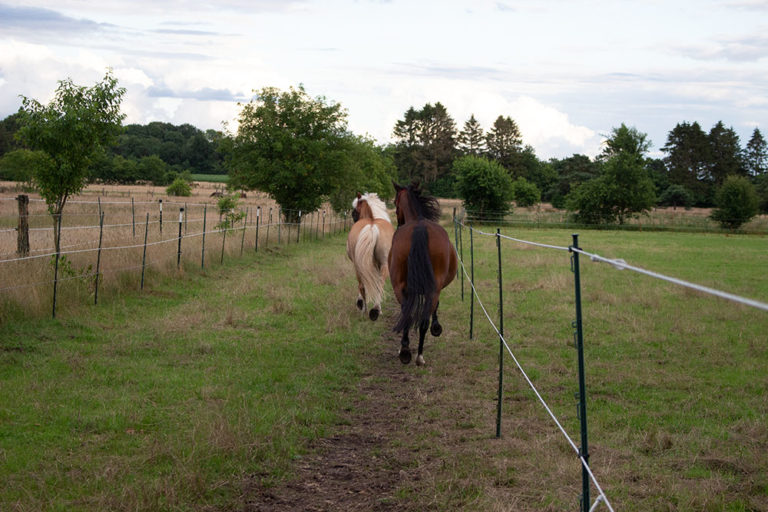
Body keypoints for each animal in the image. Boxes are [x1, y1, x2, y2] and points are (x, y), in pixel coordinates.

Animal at [346, 192, 395, 321]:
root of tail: (372, 227)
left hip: (358, 265)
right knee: (379, 285)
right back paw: (376, 310)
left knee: (362, 285)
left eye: (354, 213)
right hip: (383, 265)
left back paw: (364, 309)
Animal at [389, 181, 457, 366]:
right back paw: (418, 355)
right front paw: (436, 328)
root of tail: (419, 228)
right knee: (423, 319)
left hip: (400, 287)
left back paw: (407, 351)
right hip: (432, 287)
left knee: (409, 314)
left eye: (395, 202)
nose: (398, 223)